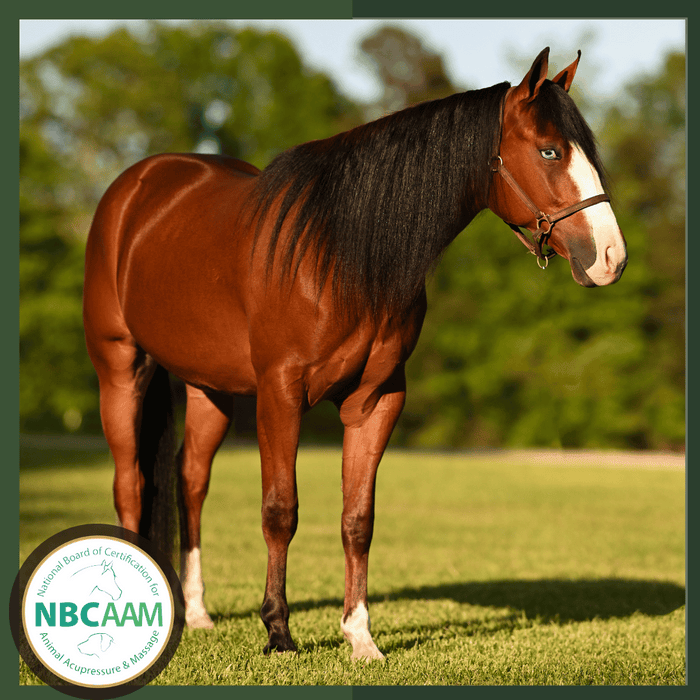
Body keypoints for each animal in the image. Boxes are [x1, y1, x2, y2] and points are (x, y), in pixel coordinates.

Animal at [83, 47, 627, 661]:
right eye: (550, 150)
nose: (611, 257)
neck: (342, 254)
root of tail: (136, 186)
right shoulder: (280, 393)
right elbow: (281, 510)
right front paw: (278, 631)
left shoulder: (377, 399)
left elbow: (357, 518)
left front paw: (360, 634)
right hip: (119, 369)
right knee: (131, 484)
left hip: (210, 386)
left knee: (190, 483)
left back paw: (196, 613)